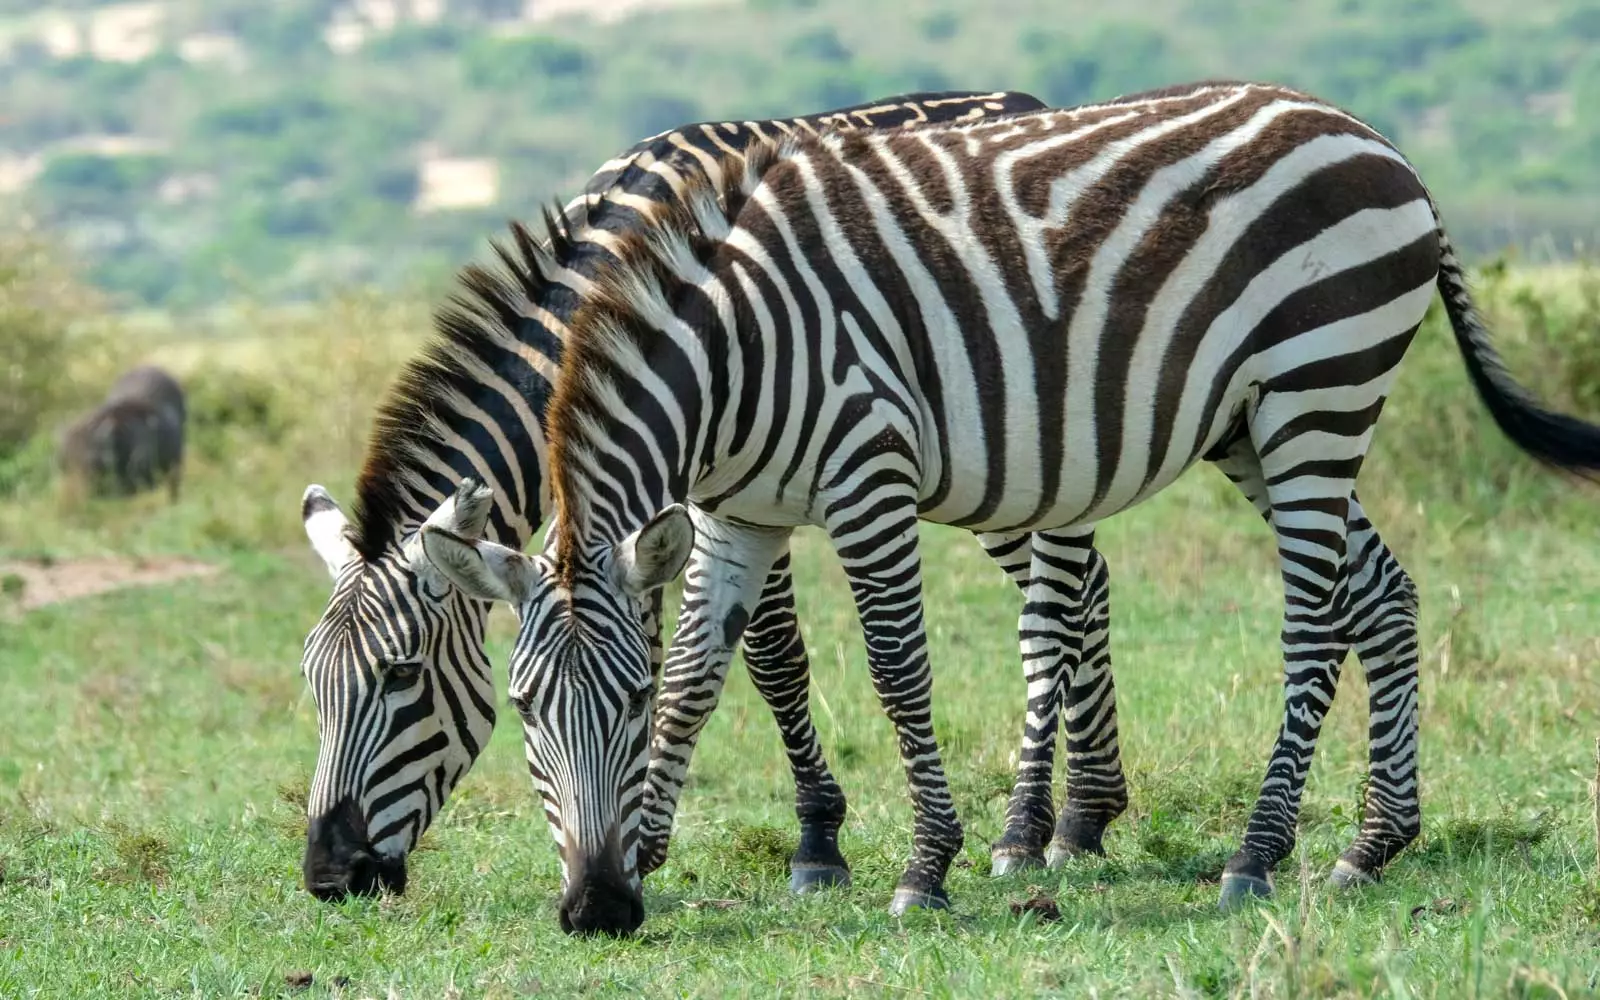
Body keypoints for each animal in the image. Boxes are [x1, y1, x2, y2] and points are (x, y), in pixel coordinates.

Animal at [294, 91, 1126, 902]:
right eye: (313, 683)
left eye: (402, 675)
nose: (331, 876)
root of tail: (1027, 100)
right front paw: (639, 833)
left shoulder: (716, 484)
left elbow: (767, 656)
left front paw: (814, 842)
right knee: (1090, 586)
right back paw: (1088, 811)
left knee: (1062, 598)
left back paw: (1042, 825)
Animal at [422, 80, 1600, 934]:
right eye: (521, 709)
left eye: (609, 706)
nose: (594, 910)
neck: (730, 356)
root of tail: (1376, 140)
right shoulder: (738, 512)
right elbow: (701, 678)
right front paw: (655, 850)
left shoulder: (867, 475)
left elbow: (895, 671)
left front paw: (924, 865)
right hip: (1261, 425)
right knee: (1384, 593)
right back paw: (1373, 843)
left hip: (1321, 383)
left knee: (1312, 622)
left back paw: (1256, 854)